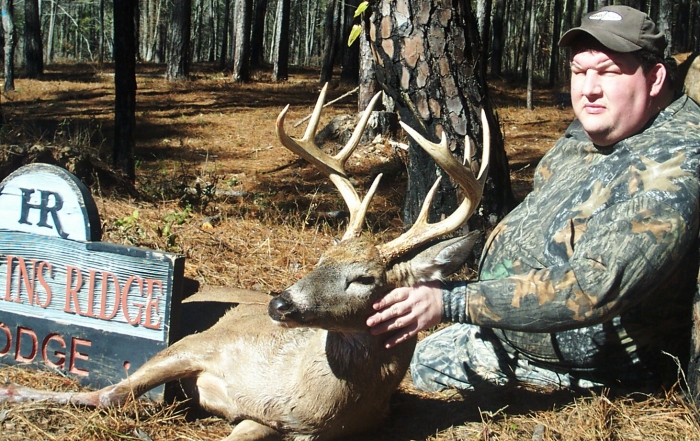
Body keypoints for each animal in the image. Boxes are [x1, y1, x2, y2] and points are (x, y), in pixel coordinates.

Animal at [0, 84, 490, 441]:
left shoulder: (275, 424)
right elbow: (111, 392)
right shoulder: (201, 343)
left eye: (365, 279)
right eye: (321, 256)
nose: (279, 304)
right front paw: (13, 390)